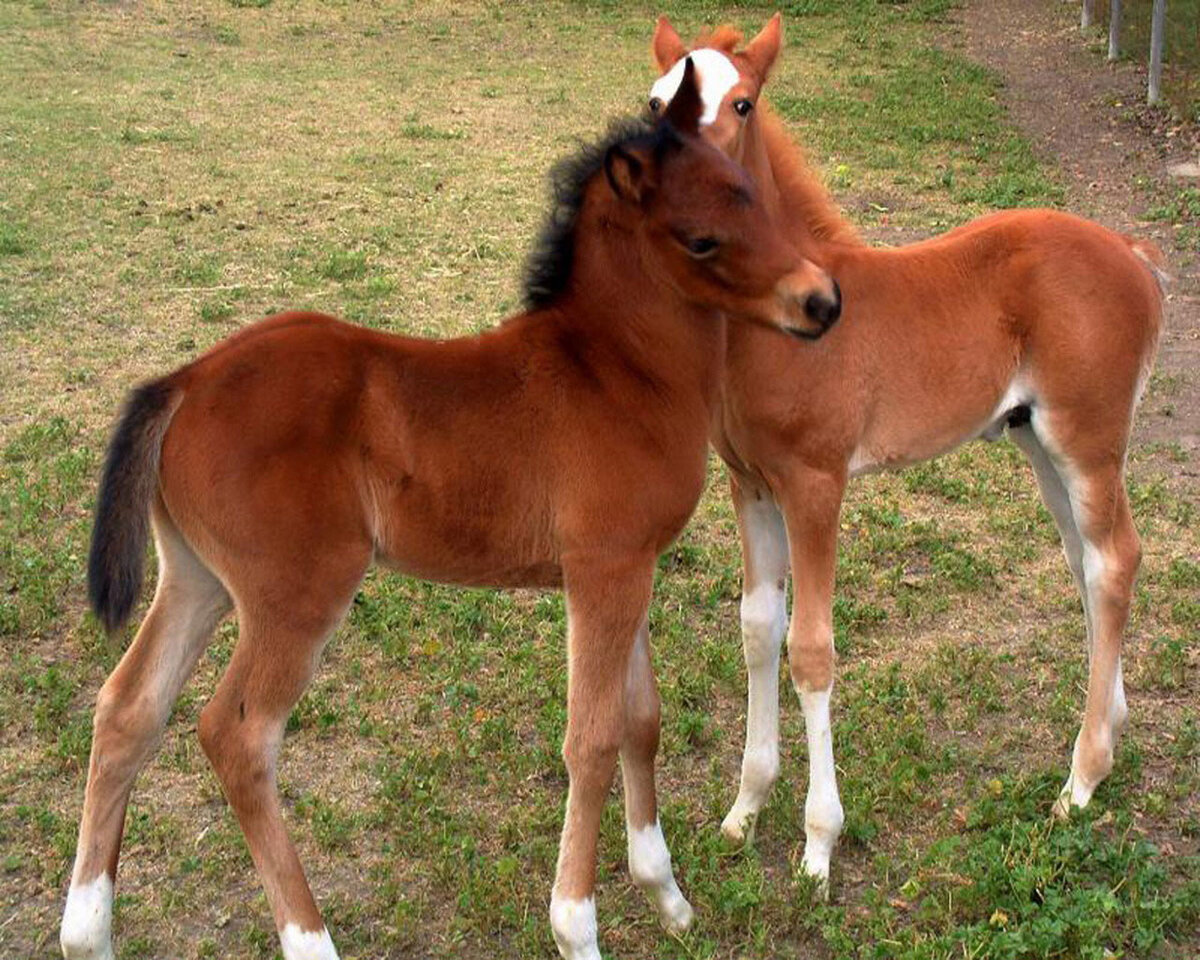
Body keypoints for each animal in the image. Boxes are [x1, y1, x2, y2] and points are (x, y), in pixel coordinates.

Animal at [58, 65, 844, 960]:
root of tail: (183, 381)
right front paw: (578, 925)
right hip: (296, 595)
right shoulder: (604, 569)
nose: (822, 302)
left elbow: (639, 720)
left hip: (195, 578)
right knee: (236, 738)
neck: (615, 370)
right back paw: (310, 937)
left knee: (128, 711)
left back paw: (86, 932)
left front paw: (667, 898)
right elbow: (591, 740)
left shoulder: (623, 566)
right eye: (701, 239)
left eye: (750, 193)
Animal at [652, 15, 1166, 888]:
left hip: (1088, 441)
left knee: (1115, 559)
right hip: (1041, 445)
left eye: (742, 103)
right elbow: (757, 628)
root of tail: (1131, 251)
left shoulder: (815, 484)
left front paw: (818, 846)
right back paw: (1110, 733)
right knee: (1088, 564)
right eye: (655, 105)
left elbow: (811, 649)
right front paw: (744, 810)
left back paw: (1082, 779)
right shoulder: (749, 484)